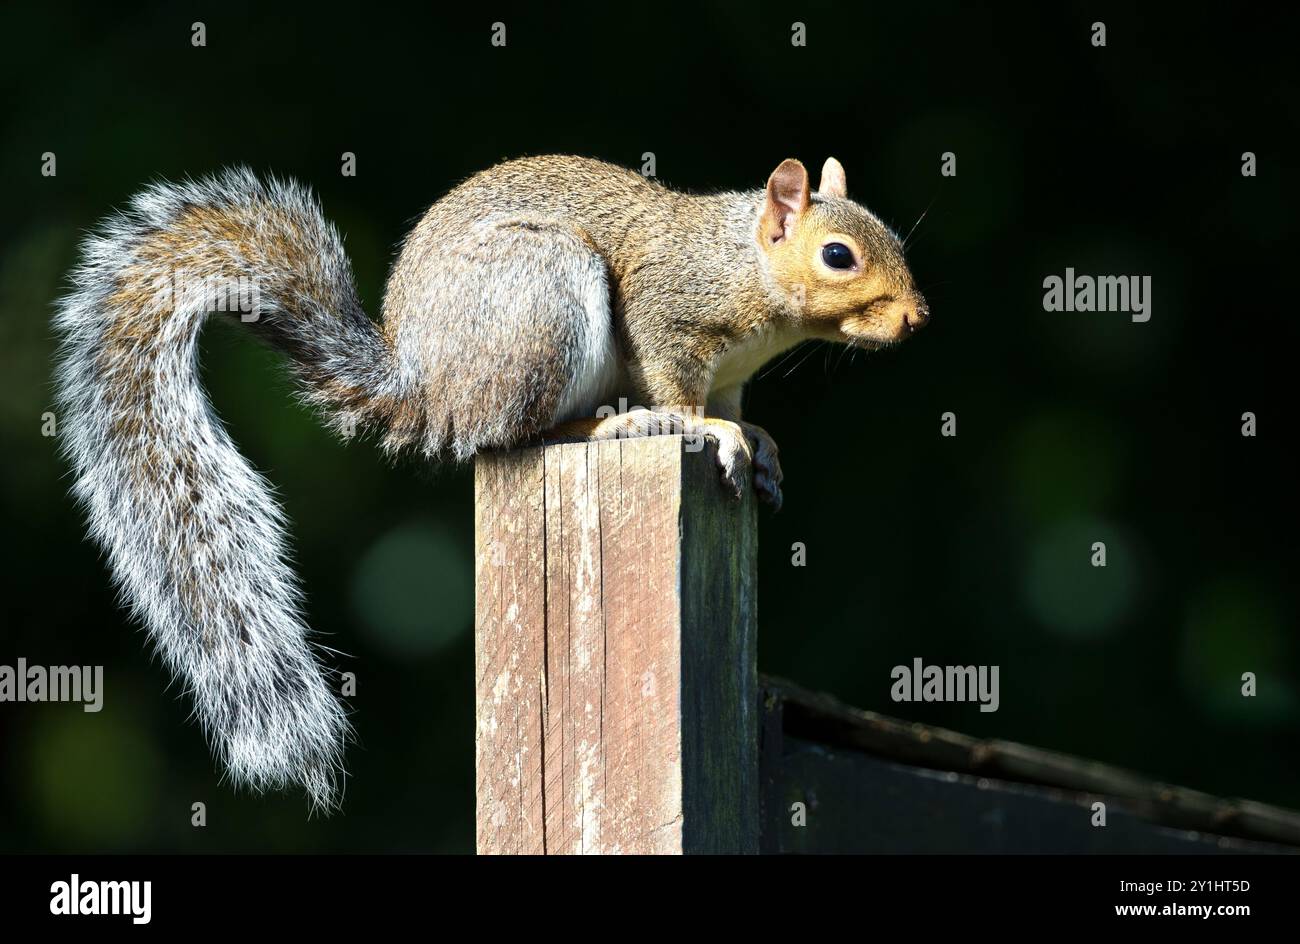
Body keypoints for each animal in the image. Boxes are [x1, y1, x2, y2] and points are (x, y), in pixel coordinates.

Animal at [53, 155, 928, 811]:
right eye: (839, 255)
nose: (918, 319)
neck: (746, 265)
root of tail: (427, 387)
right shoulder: (669, 315)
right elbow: (679, 388)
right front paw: (703, 431)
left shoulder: (735, 375)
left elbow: (738, 410)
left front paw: (761, 446)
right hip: (541, 296)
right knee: (512, 434)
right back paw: (609, 426)